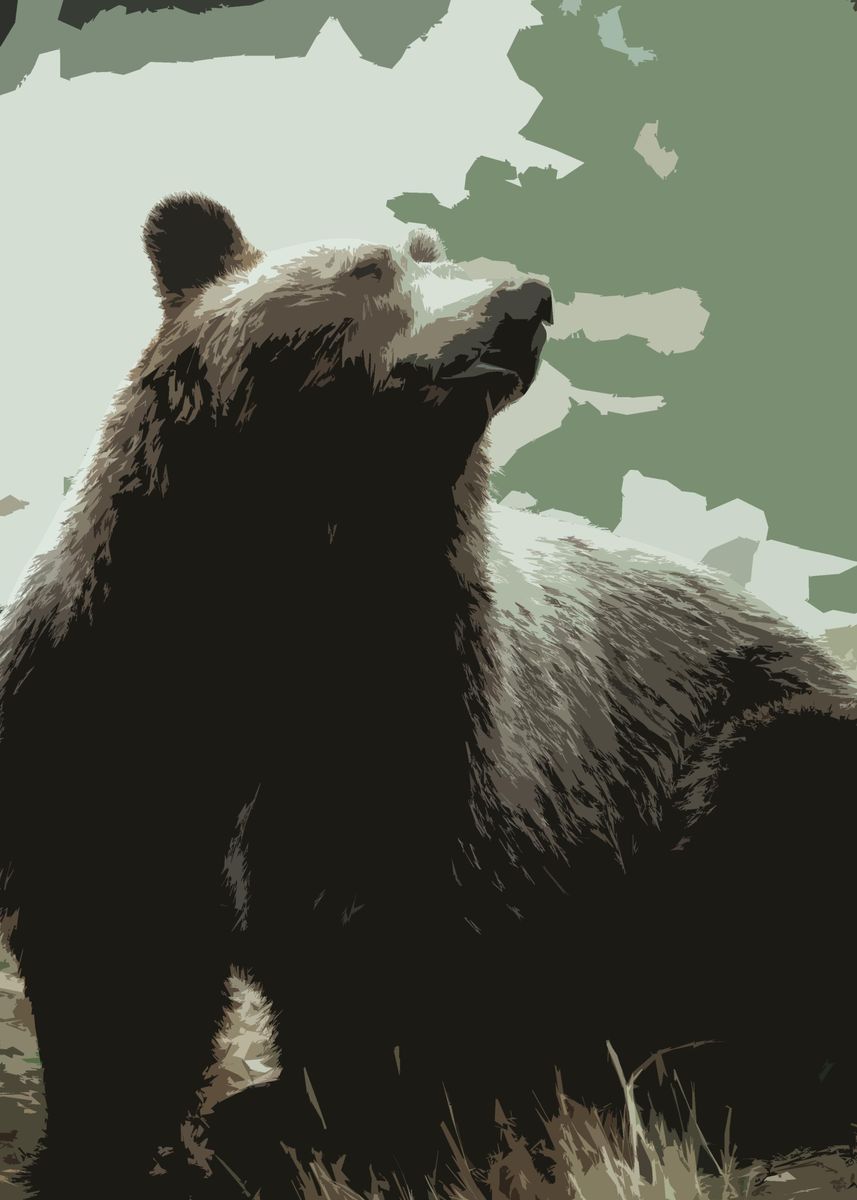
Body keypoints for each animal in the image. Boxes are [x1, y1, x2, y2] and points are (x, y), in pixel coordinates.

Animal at [0, 192, 855, 1199]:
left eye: (429, 250)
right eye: (371, 267)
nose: (524, 299)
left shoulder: (418, 715)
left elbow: (393, 960)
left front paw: (350, 1139)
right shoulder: (110, 693)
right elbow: (114, 952)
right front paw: (105, 1148)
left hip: (761, 748)